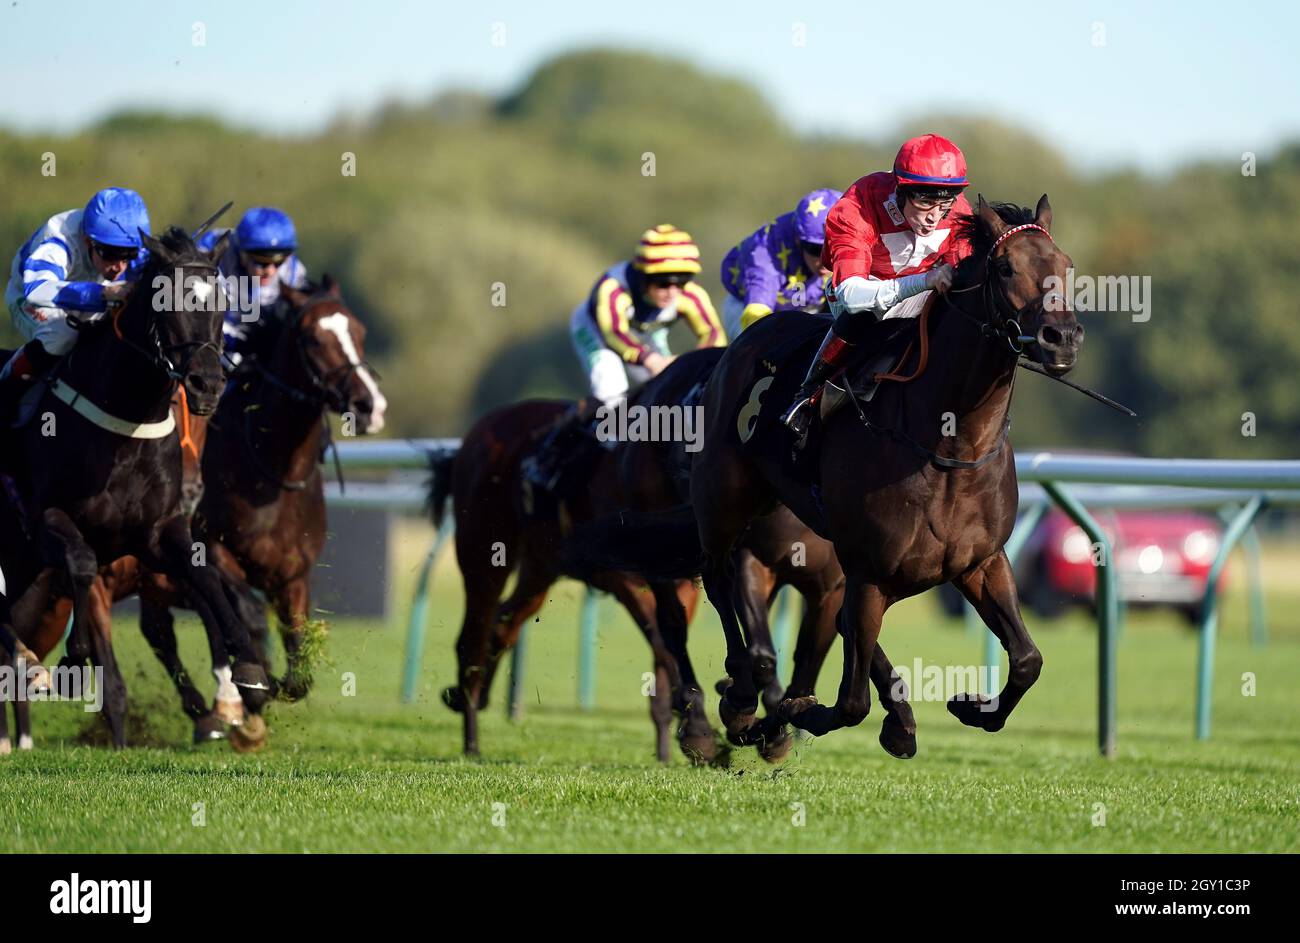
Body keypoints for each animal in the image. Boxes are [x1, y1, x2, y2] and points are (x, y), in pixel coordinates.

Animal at [0, 225, 270, 747]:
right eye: (168, 304)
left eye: (223, 302)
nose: (207, 385)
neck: (124, 426)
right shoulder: (46, 520)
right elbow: (81, 563)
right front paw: (76, 656)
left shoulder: (157, 534)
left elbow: (204, 574)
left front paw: (247, 668)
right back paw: (28, 665)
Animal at [689, 196, 1083, 744]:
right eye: (1005, 268)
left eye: (1065, 266)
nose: (1061, 338)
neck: (950, 444)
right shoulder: (869, 571)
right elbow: (850, 702)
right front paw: (795, 711)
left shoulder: (981, 562)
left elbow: (1028, 659)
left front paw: (973, 708)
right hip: (725, 498)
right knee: (717, 573)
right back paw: (744, 696)